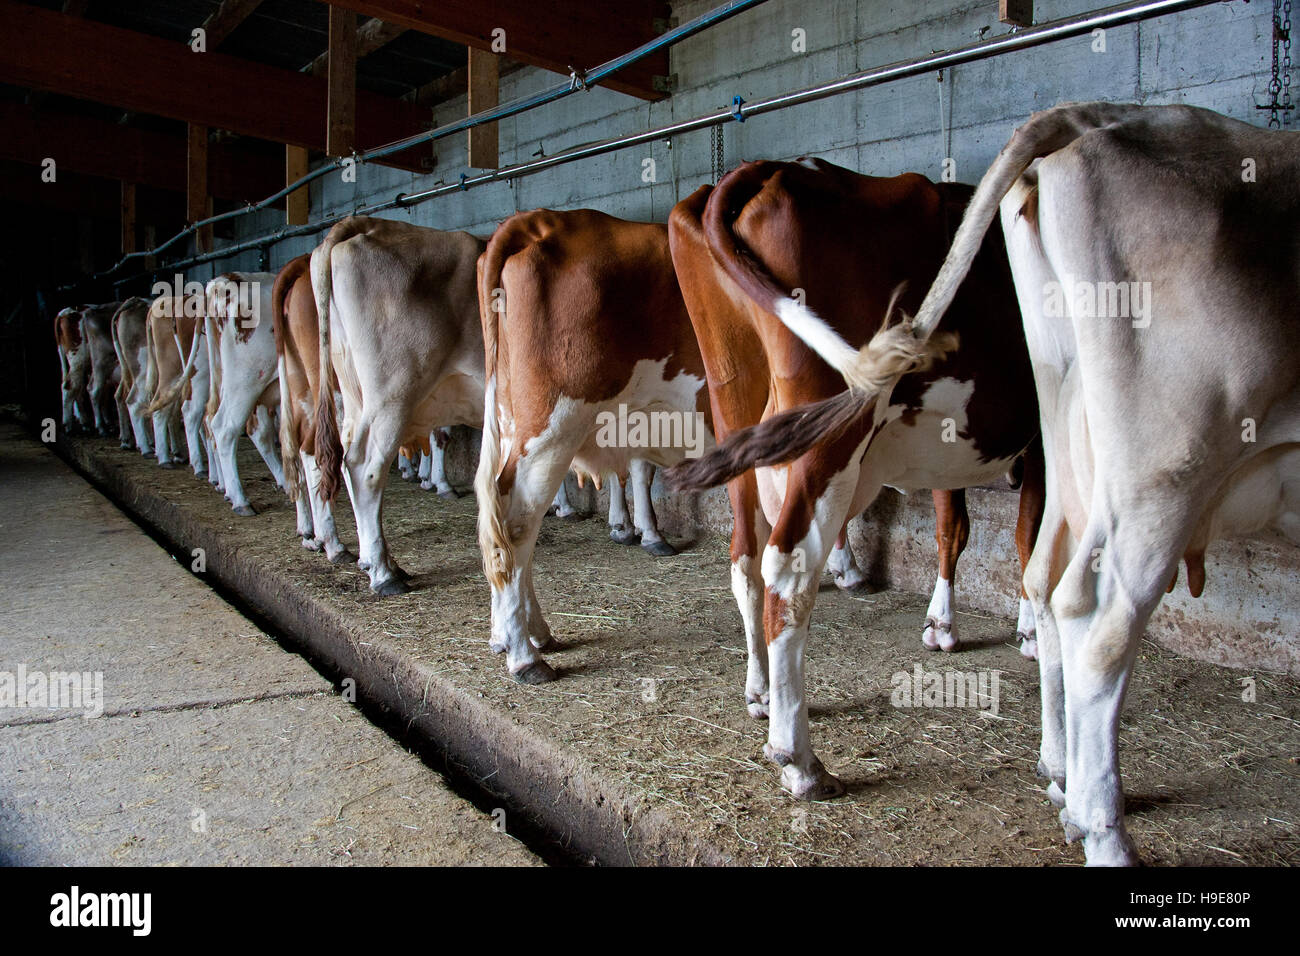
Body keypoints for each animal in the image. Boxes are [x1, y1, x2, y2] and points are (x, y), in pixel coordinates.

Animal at [272, 253, 350, 563]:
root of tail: (302, 261)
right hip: (331, 384)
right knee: (318, 449)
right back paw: (333, 544)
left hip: (299, 385)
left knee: (294, 445)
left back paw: (309, 533)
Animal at [312, 216, 487, 595]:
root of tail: (368, 224)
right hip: (393, 392)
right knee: (364, 466)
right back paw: (383, 573)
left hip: (354, 393)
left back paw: (377, 560)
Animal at [476, 208, 714, 682]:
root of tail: (541, 220)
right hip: (552, 428)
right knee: (514, 526)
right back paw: (525, 656)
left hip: (512, 423)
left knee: (500, 517)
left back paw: (519, 634)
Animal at [666, 158, 1043, 801]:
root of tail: (764, 170)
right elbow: (1028, 538)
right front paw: (1033, 633)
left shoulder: (951, 442)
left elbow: (953, 529)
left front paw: (943, 623)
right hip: (831, 430)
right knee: (786, 571)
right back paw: (799, 760)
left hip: (736, 410)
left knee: (745, 558)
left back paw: (760, 694)